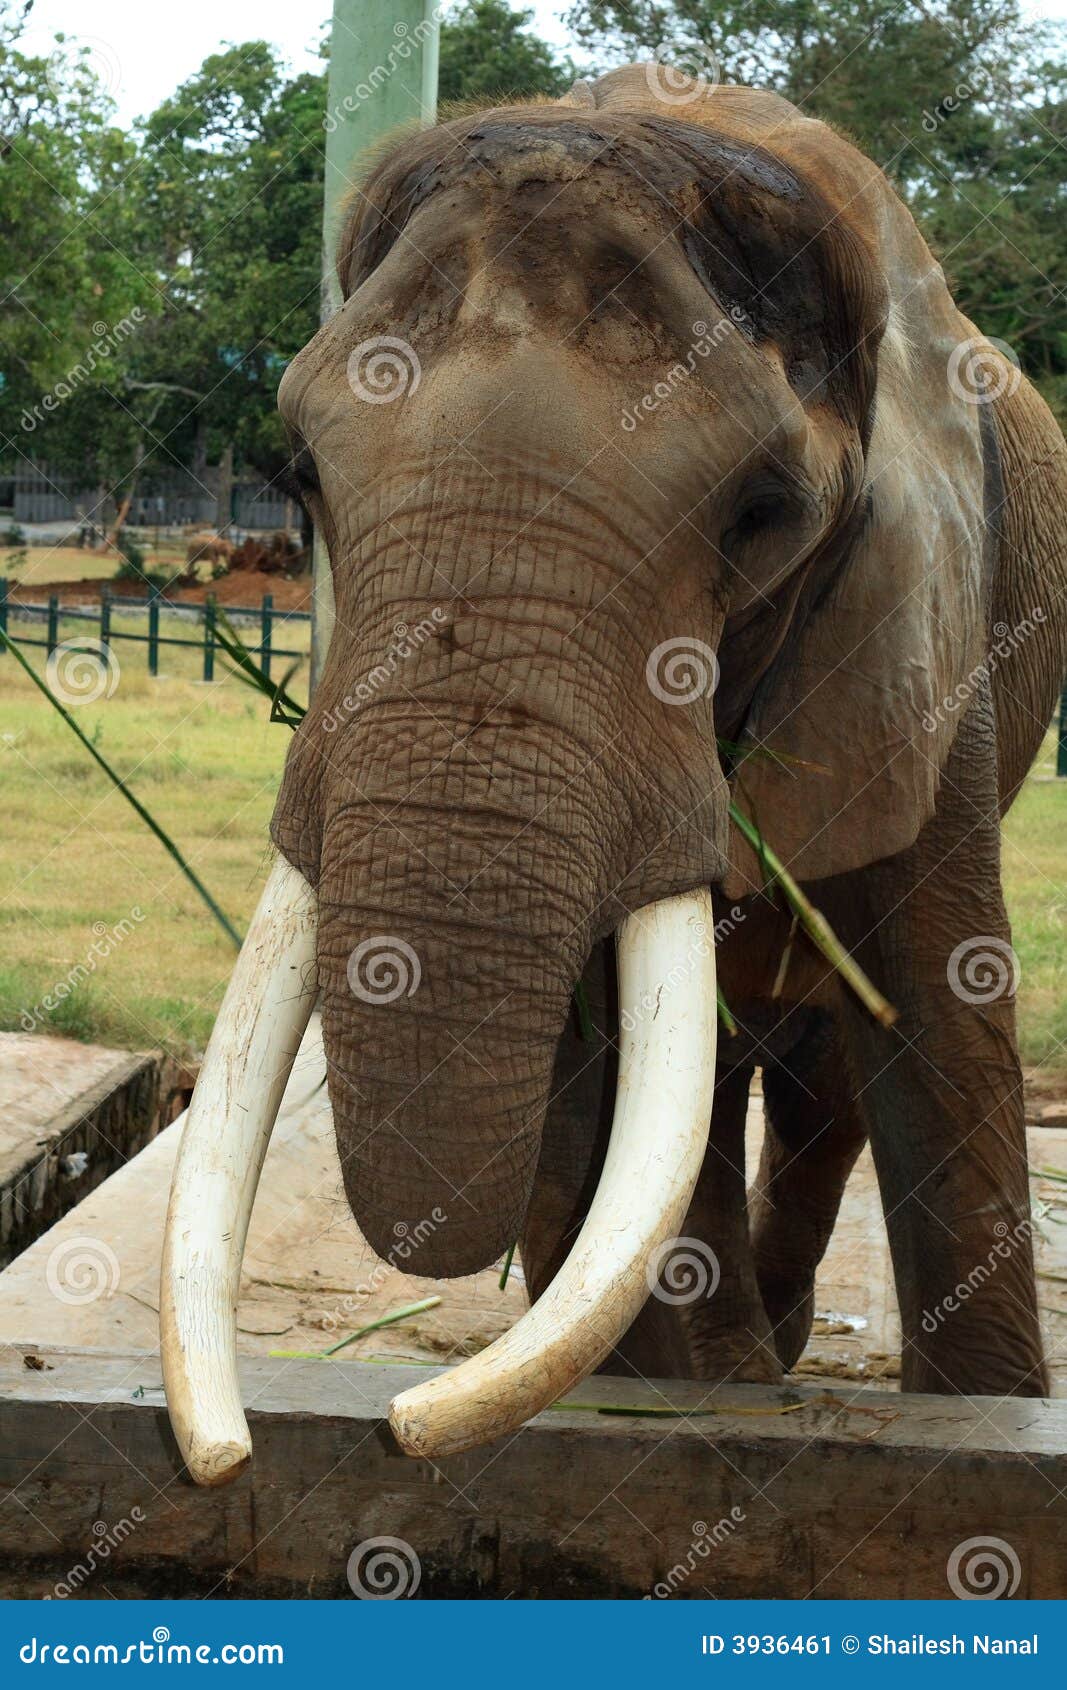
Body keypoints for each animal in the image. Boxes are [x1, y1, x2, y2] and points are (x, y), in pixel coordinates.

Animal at [160, 65, 1067, 1482]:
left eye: (763, 512)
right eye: (296, 473)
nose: (402, 1431)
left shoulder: (928, 626)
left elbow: (937, 1012)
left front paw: (980, 1417)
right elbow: (592, 1085)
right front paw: (686, 1391)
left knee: (821, 1074)